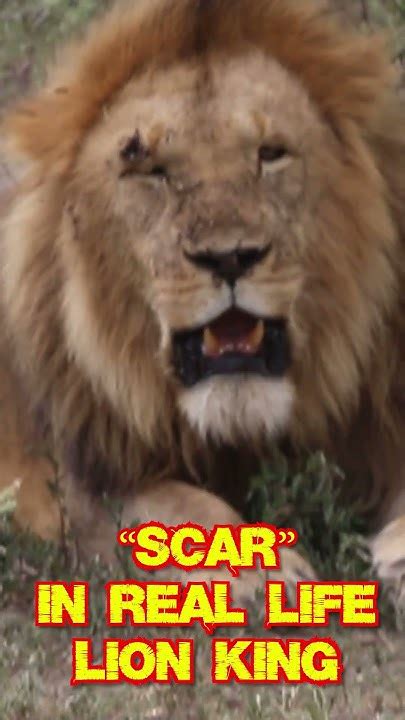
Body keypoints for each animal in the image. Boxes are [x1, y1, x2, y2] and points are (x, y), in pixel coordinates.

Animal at [0, 0, 404, 596]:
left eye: (270, 154)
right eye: (149, 170)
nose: (230, 258)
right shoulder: (78, 484)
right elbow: (171, 507)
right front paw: (257, 568)